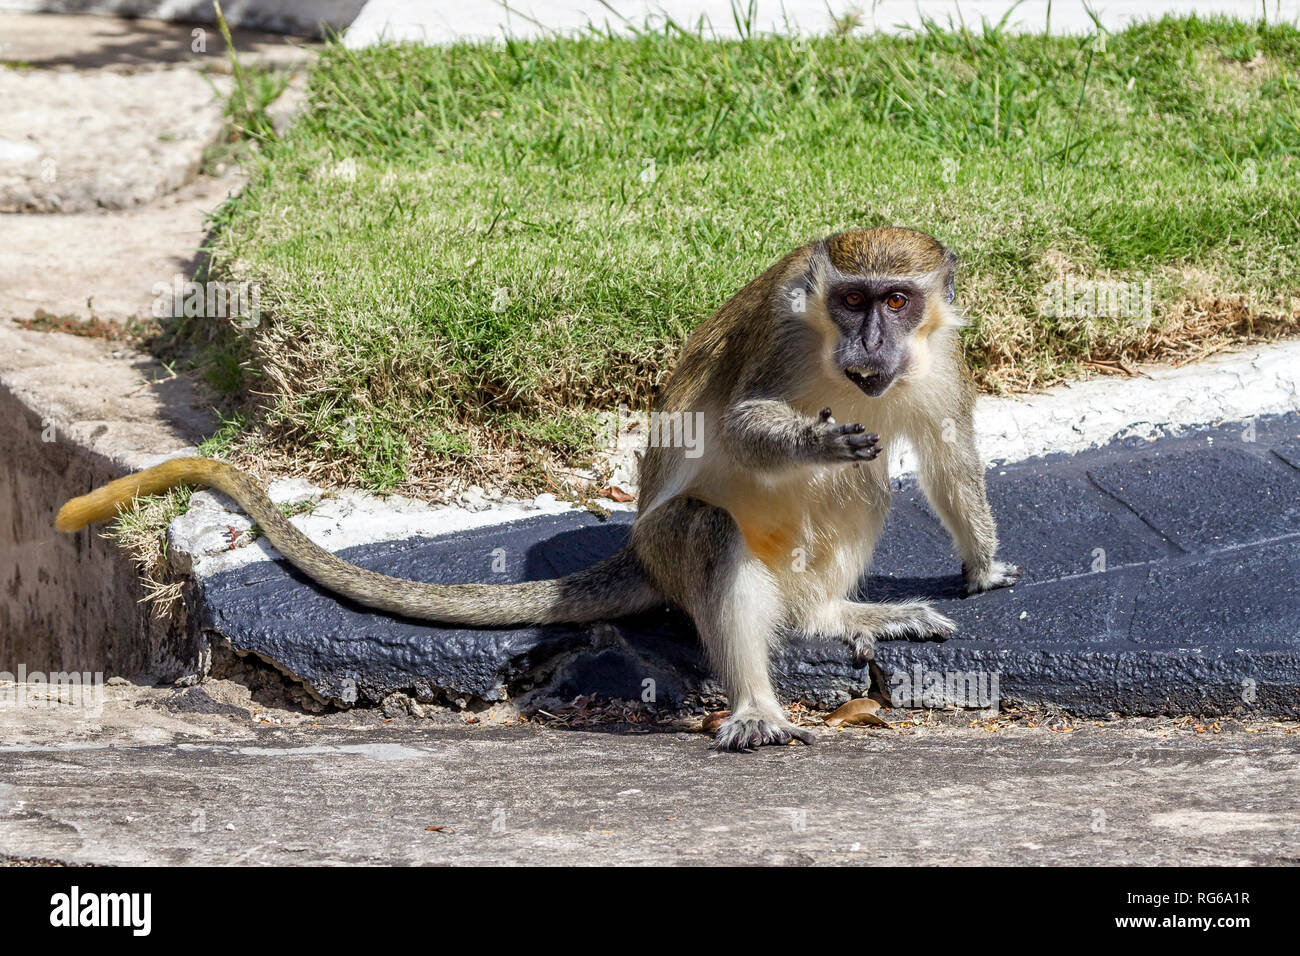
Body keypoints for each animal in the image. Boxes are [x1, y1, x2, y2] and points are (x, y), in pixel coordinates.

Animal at [56, 226, 1019, 751]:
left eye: (895, 301)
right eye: (853, 299)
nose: (869, 345)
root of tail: (636, 552)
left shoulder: (939, 352)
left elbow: (946, 451)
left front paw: (984, 566)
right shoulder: (783, 334)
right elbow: (747, 420)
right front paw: (807, 435)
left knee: (866, 484)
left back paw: (830, 614)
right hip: (670, 549)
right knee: (707, 531)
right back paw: (754, 700)